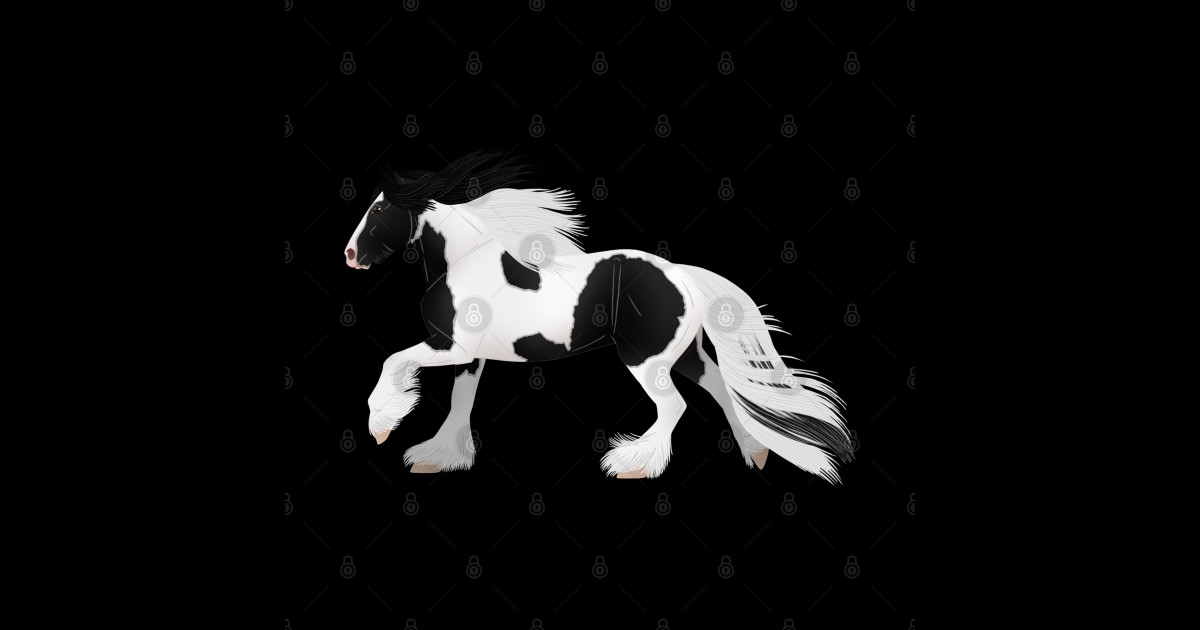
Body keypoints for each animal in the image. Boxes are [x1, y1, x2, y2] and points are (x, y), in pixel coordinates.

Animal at [343, 150, 853, 482]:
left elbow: (393, 362)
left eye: (380, 208)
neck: (463, 261)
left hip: (645, 359)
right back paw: (757, 452)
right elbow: (460, 402)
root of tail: (683, 276)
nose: (350, 256)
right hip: (684, 355)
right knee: (721, 392)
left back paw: (632, 465)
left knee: (675, 406)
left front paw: (381, 427)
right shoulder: (471, 356)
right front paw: (437, 457)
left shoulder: (452, 346)